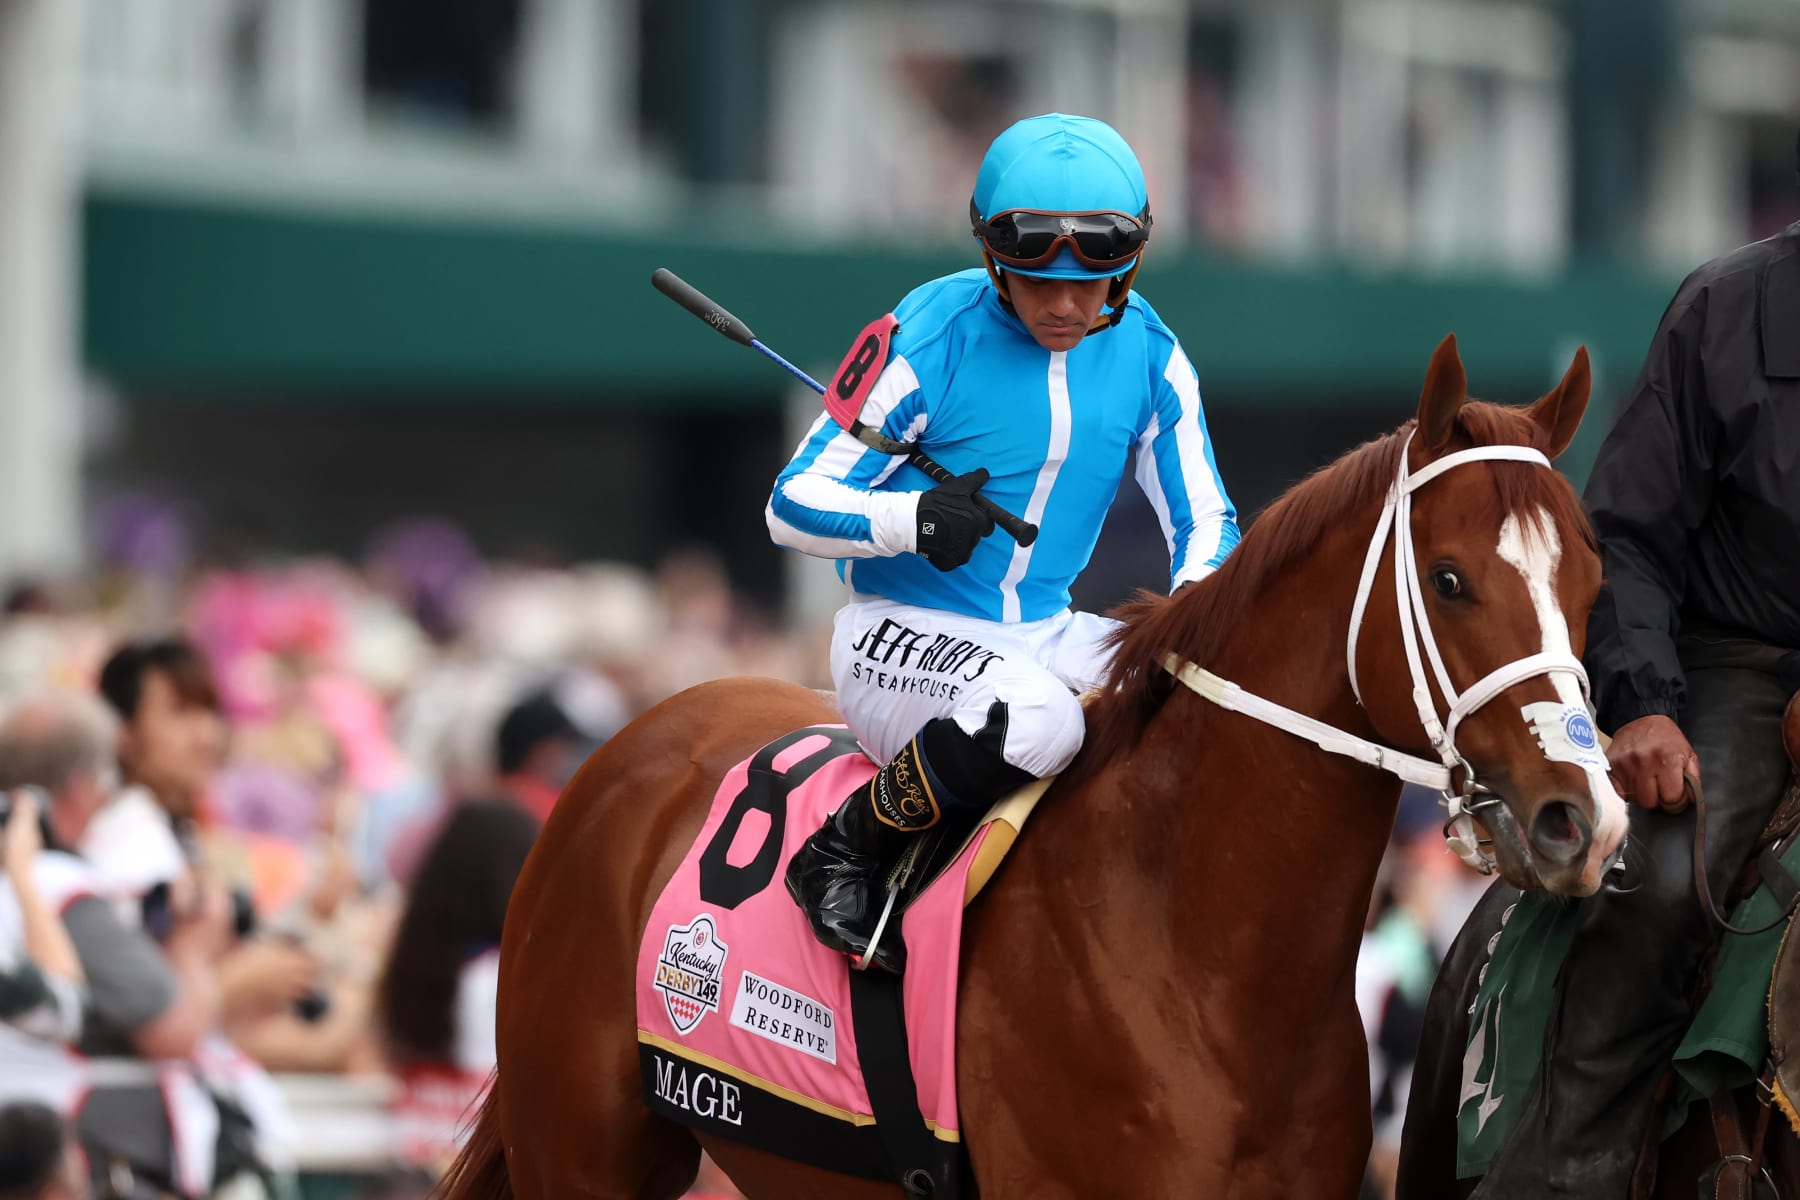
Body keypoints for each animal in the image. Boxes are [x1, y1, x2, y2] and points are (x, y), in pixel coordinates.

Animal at [437, 334, 1626, 1200]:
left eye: (1592, 579)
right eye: (1452, 577)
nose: (1584, 819)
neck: (1192, 948)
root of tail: (628, 748)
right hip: (583, 1154)